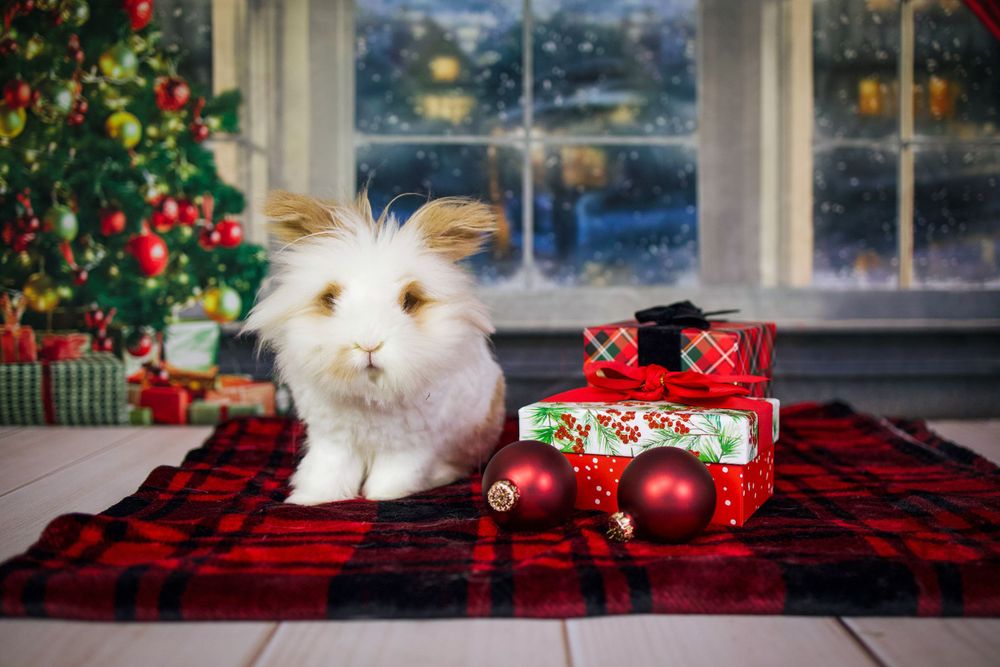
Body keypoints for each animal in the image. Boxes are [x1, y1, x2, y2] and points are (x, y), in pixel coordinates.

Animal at [243, 191, 506, 504]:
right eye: (330, 298)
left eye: (409, 300)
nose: (368, 344)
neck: (369, 395)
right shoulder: (333, 441)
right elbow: (328, 470)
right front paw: (311, 498)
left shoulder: (408, 445)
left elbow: (393, 474)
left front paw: (382, 497)